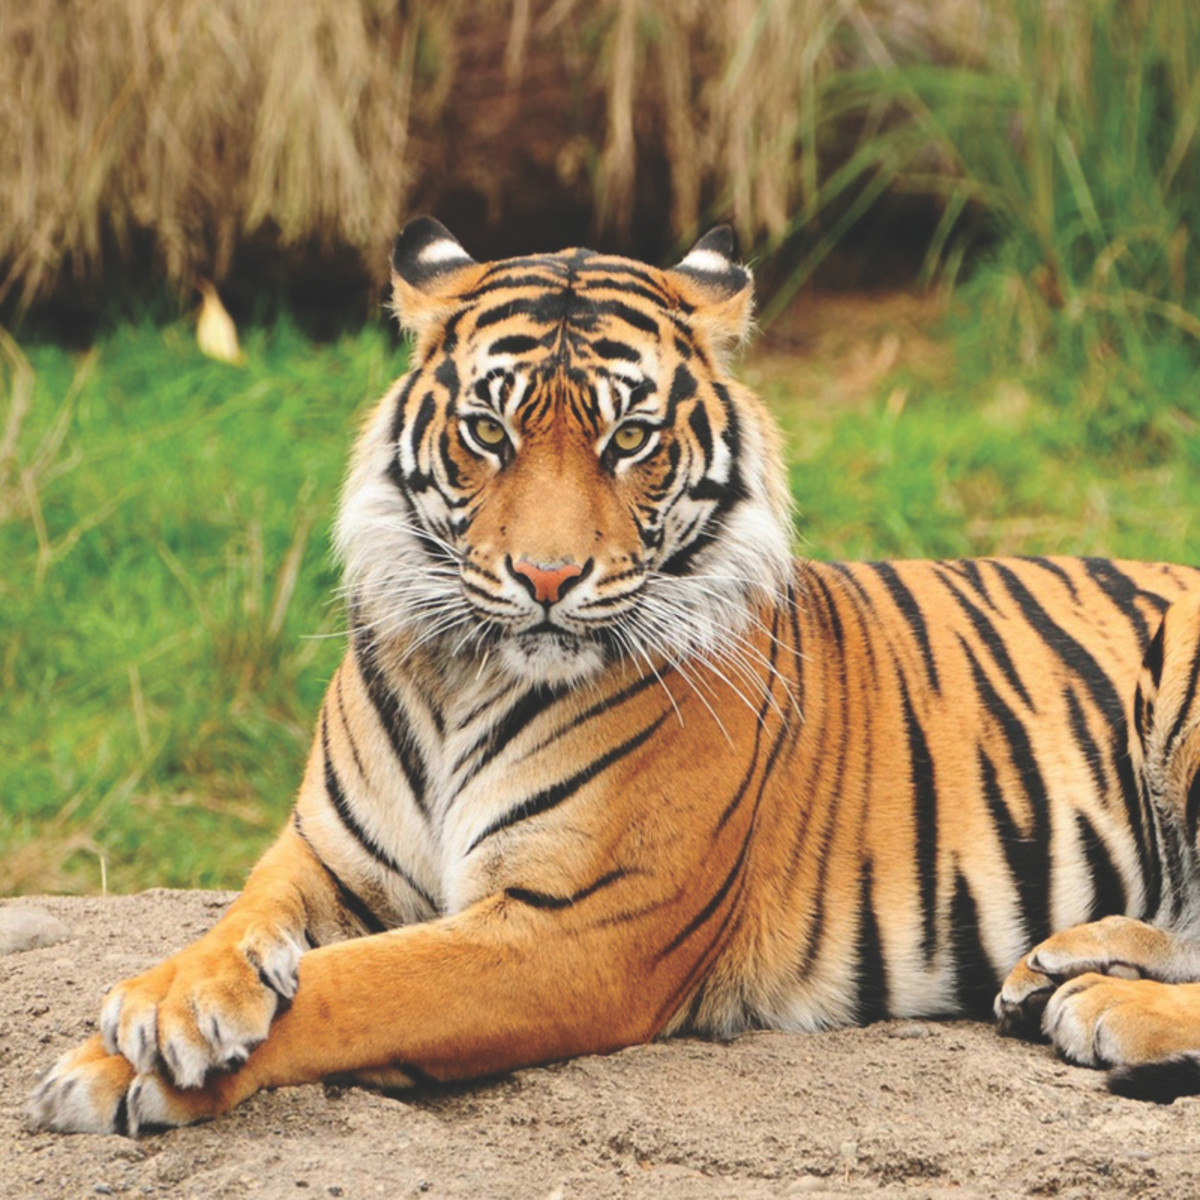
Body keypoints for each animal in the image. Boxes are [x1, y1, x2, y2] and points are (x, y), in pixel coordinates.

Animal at [30, 218, 1200, 1135]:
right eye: (488, 432)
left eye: (630, 438)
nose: (548, 578)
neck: (463, 676)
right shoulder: (329, 856)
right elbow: (242, 918)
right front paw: (175, 1001)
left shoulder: (573, 928)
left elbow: (356, 986)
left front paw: (110, 1066)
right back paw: (1062, 966)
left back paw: (1104, 1010)